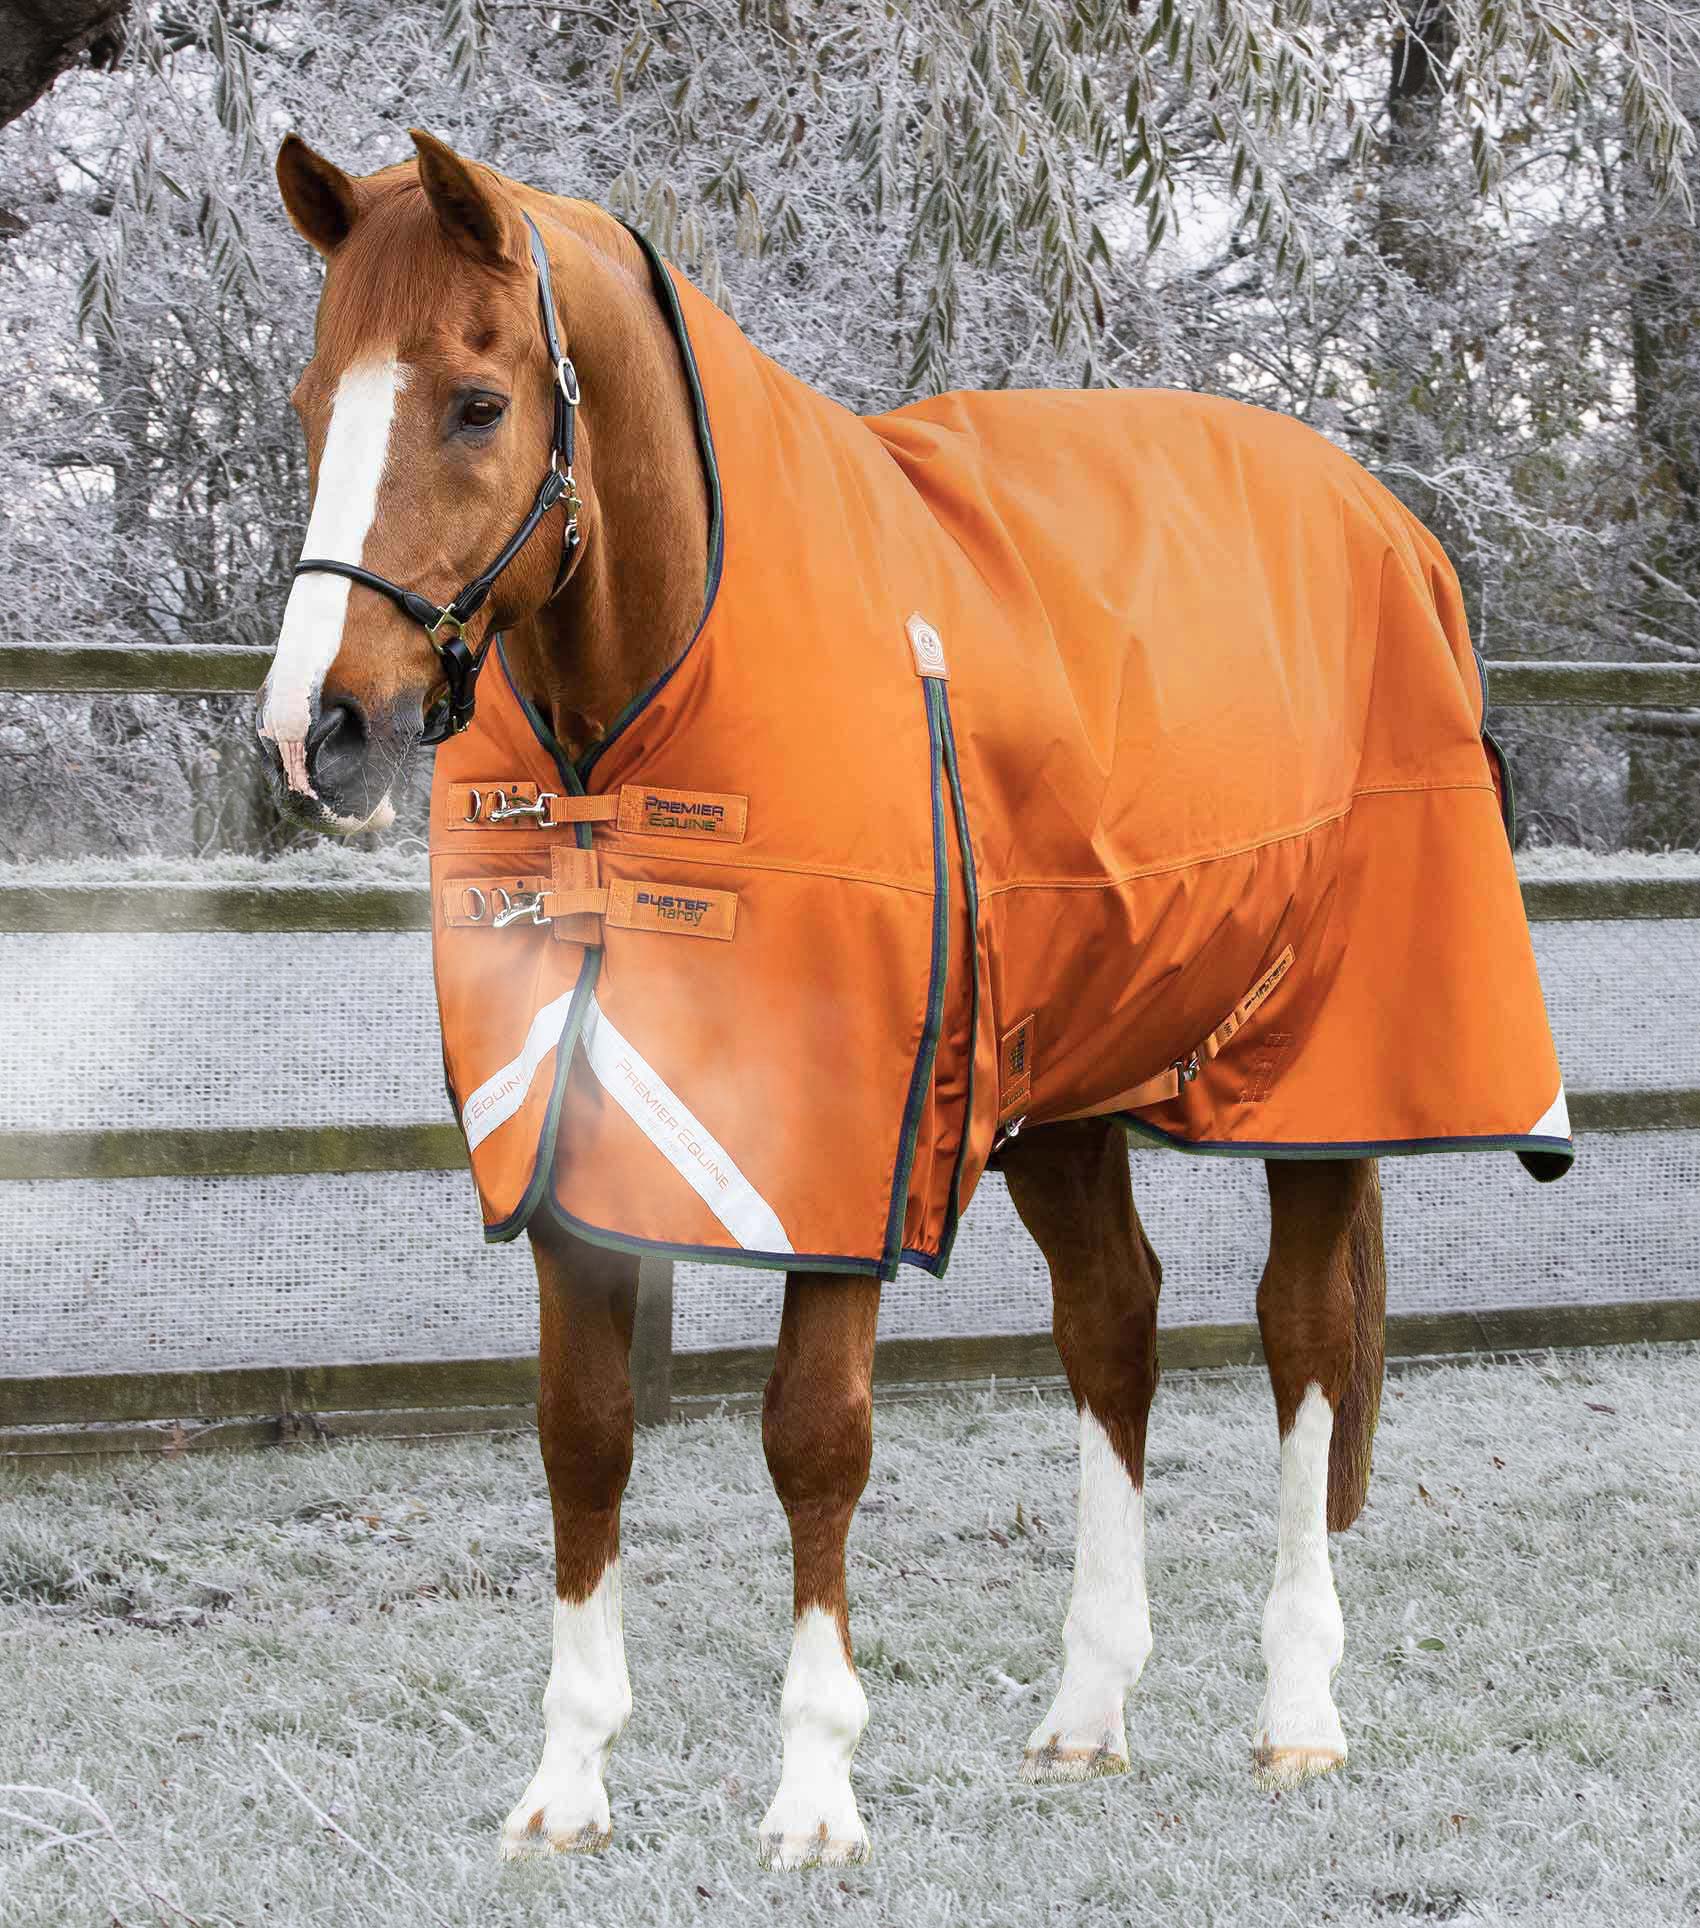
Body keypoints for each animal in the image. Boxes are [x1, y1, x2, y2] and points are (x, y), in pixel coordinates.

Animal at [255, 129, 1564, 1869]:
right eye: (312, 400)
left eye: (475, 403)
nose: (313, 730)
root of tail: (1393, 528)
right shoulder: (569, 1145)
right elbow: (584, 1432)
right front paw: (568, 1787)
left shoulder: (842, 1155)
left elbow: (815, 1437)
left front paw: (814, 1794)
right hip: (1064, 1092)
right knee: (1115, 1326)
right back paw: (1085, 1717)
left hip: (1322, 1086)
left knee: (1301, 1342)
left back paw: (1298, 1716)